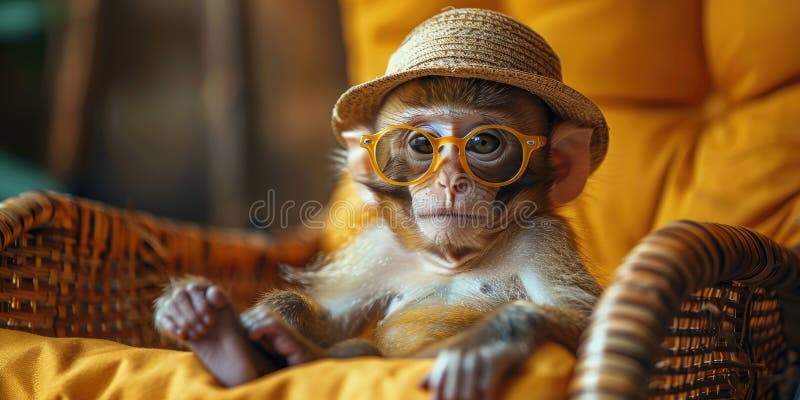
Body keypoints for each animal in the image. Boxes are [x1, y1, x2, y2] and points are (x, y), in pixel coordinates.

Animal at [153, 75, 602, 400]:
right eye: (421, 144)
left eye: (484, 143)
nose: (449, 182)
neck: (453, 259)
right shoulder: (381, 246)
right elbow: (331, 320)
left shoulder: (542, 237)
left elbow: (584, 323)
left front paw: (485, 345)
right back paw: (229, 345)